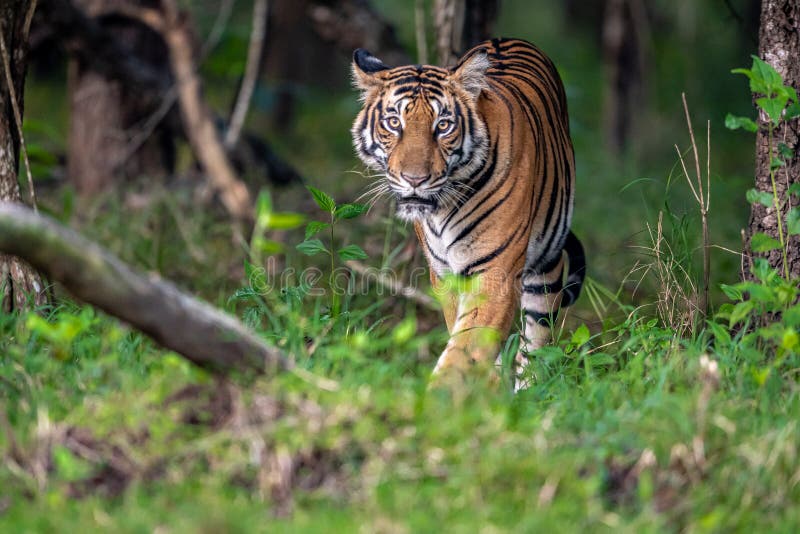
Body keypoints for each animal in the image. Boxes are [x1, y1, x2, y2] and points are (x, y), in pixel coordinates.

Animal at [351, 38, 586, 389]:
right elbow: (467, 338)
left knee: (536, 340)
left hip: (546, 267)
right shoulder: (444, 274)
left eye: (443, 126)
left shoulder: (496, 271)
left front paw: (440, 395)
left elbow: (468, 345)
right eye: (394, 123)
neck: (443, 210)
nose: (415, 179)